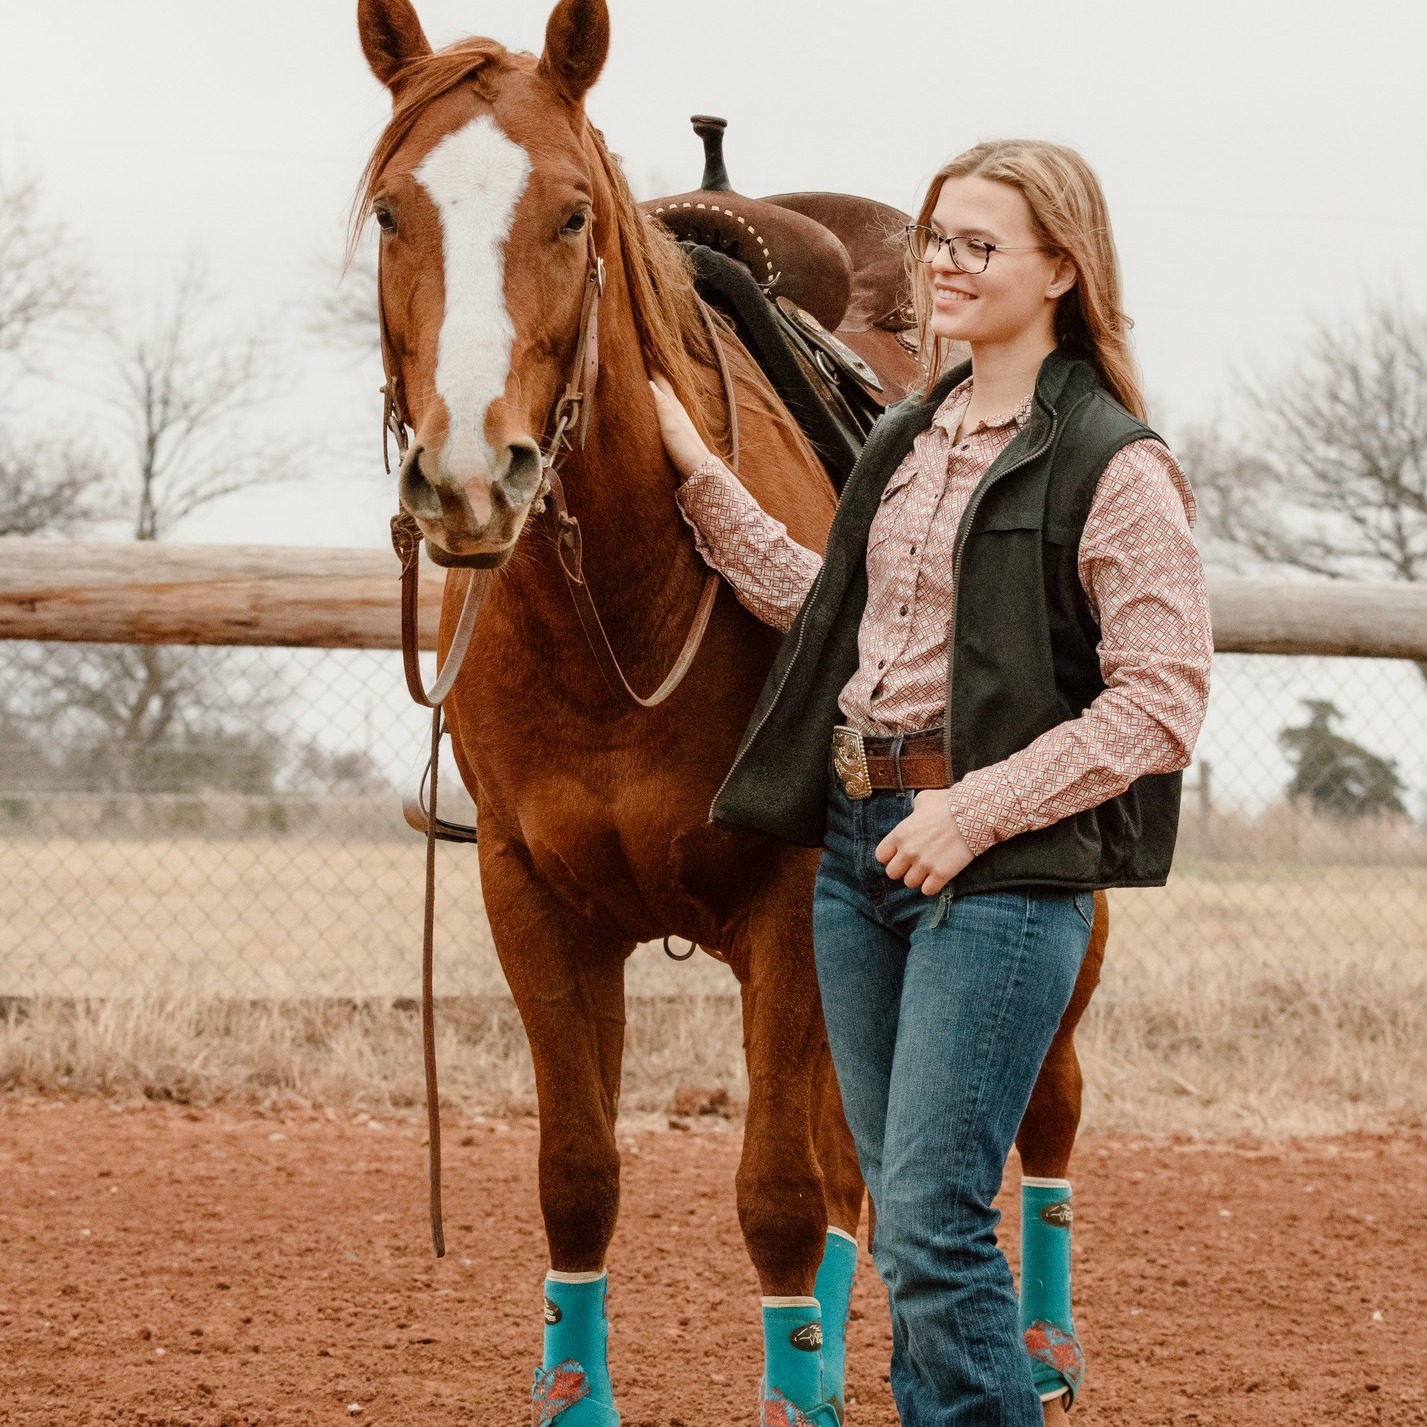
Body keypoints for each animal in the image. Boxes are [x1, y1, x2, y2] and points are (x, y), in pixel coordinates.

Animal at [354, 2, 1106, 1422]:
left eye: (571, 213)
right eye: (389, 213)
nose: (471, 474)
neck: (621, 615)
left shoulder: (792, 895)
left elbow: (774, 1198)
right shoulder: (529, 898)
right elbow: (579, 1178)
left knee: (1039, 1106)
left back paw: (1039, 1346)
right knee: (859, 1166)